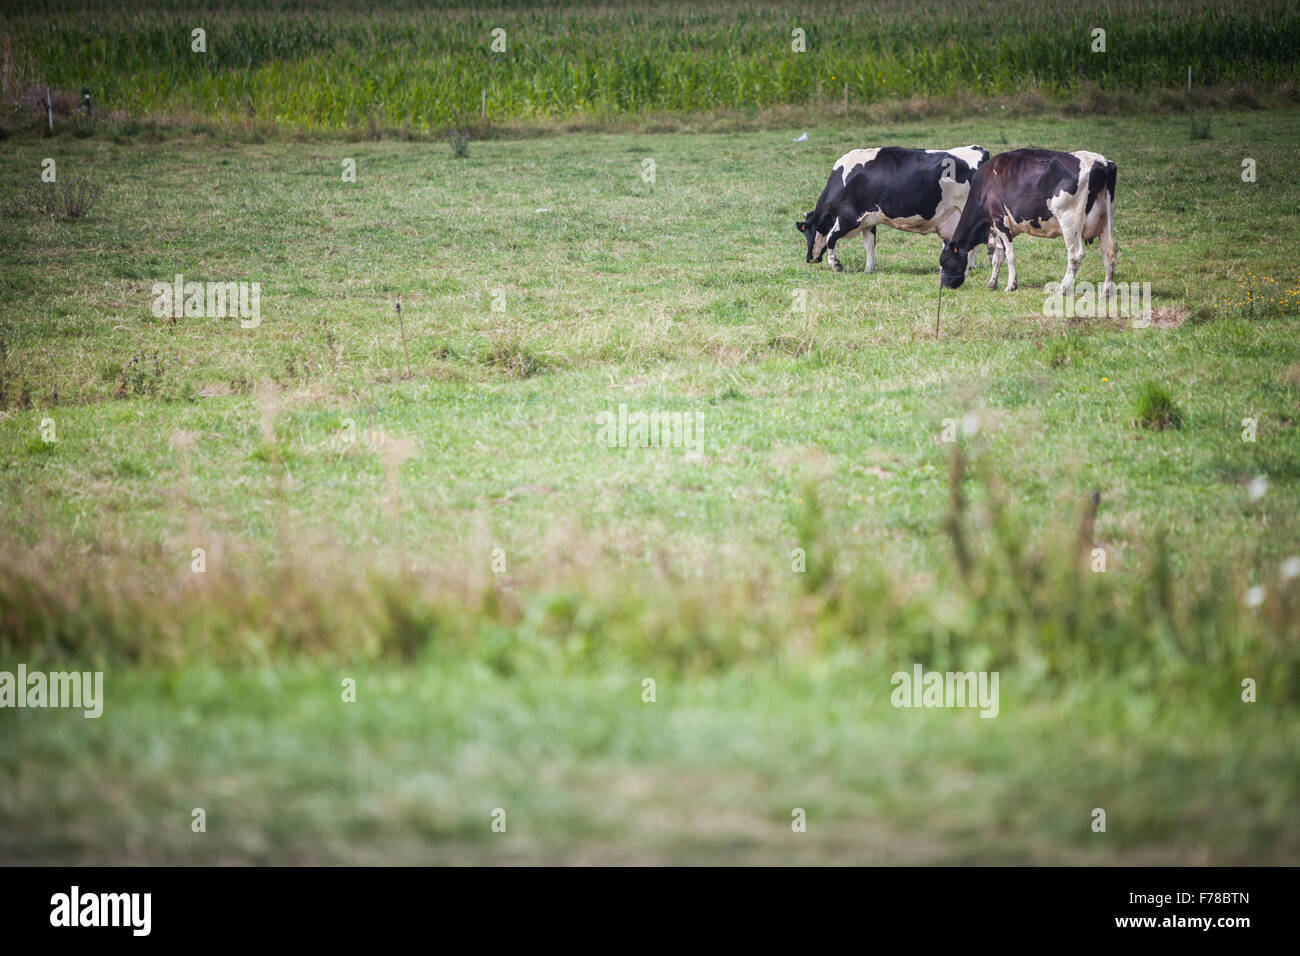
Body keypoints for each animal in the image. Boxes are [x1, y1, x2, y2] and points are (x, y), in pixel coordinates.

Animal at [796, 146, 990, 274]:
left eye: (807, 231)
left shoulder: (848, 217)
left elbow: (830, 238)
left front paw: (835, 265)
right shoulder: (868, 221)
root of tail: (980, 150)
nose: (808, 258)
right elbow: (869, 245)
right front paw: (868, 269)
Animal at [939, 148, 1117, 297]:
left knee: (1075, 255)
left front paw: (1011, 285)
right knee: (1108, 251)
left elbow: (1009, 256)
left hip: (1069, 219)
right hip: (1104, 219)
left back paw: (1062, 289)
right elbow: (997, 257)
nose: (943, 286)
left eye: (944, 261)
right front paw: (992, 283)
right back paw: (1106, 291)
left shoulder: (1000, 220)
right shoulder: (998, 229)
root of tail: (1101, 162)